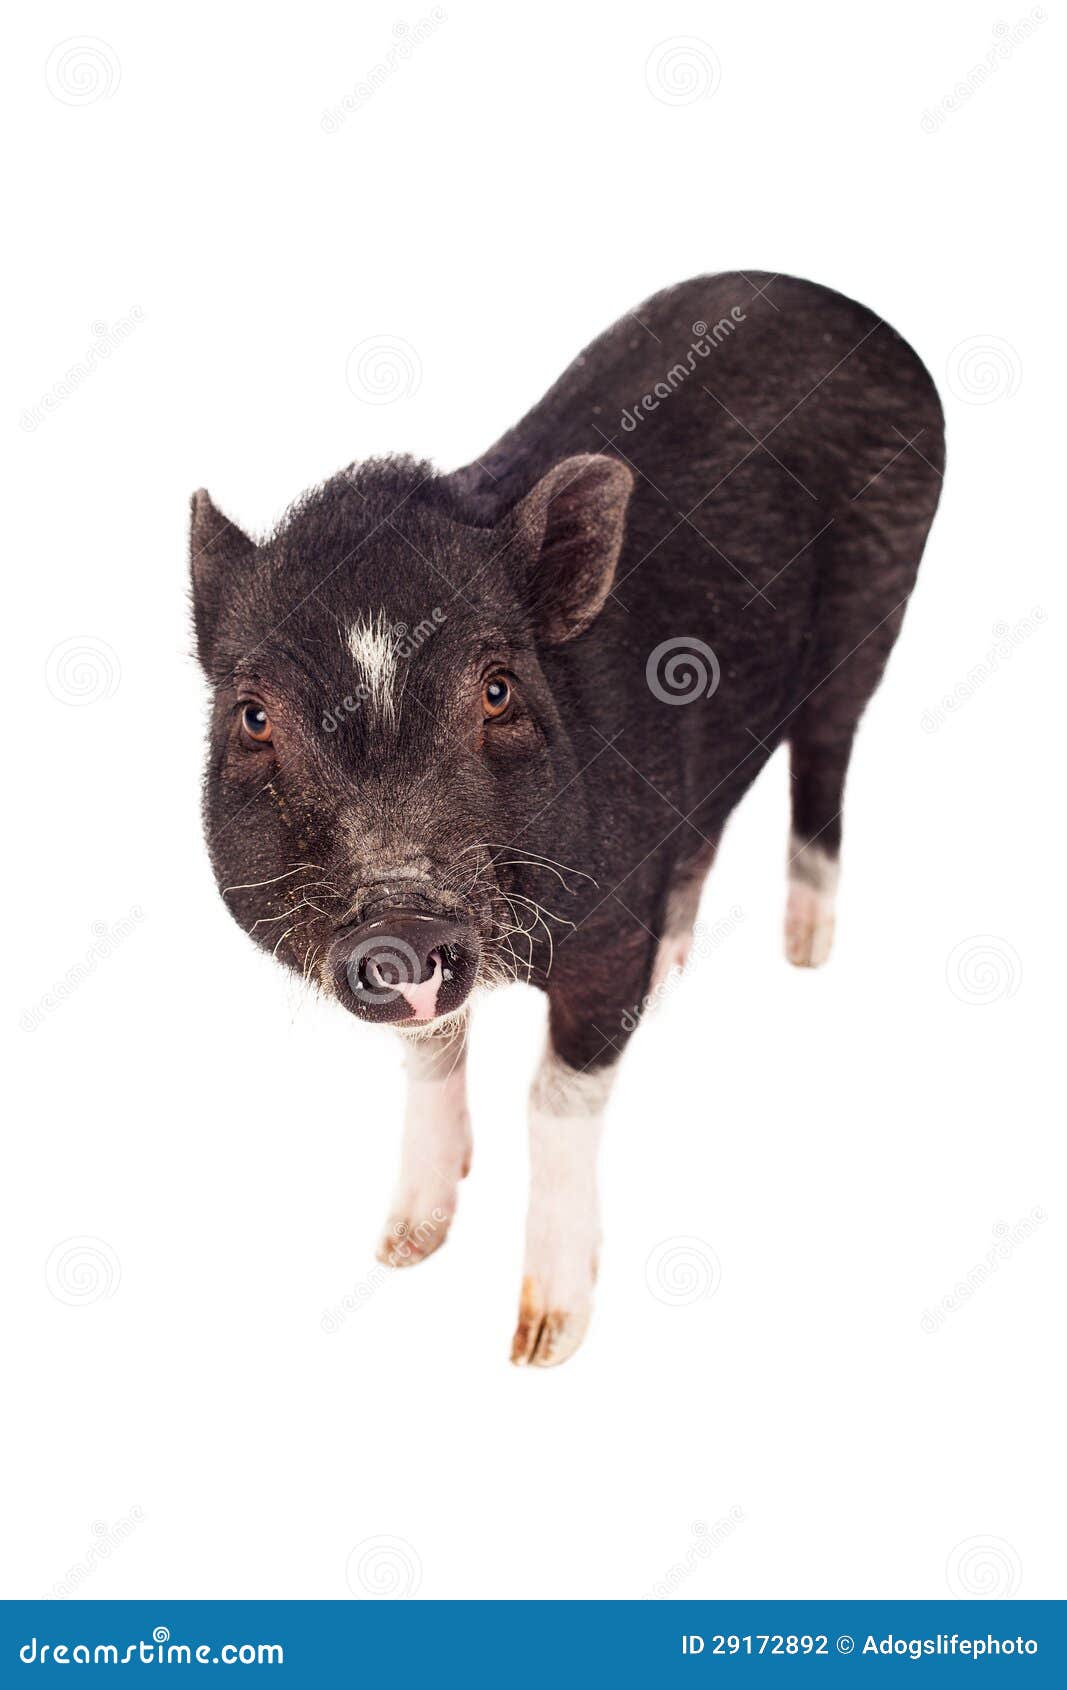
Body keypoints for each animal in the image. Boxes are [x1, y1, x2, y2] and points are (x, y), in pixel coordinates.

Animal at [190, 271, 944, 1366]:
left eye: (498, 690)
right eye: (254, 716)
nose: (399, 920)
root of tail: (853, 309)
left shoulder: (602, 935)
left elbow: (554, 1095)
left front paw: (542, 1342)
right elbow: (431, 1054)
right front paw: (401, 1249)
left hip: (877, 608)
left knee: (826, 753)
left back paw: (805, 952)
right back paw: (681, 960)